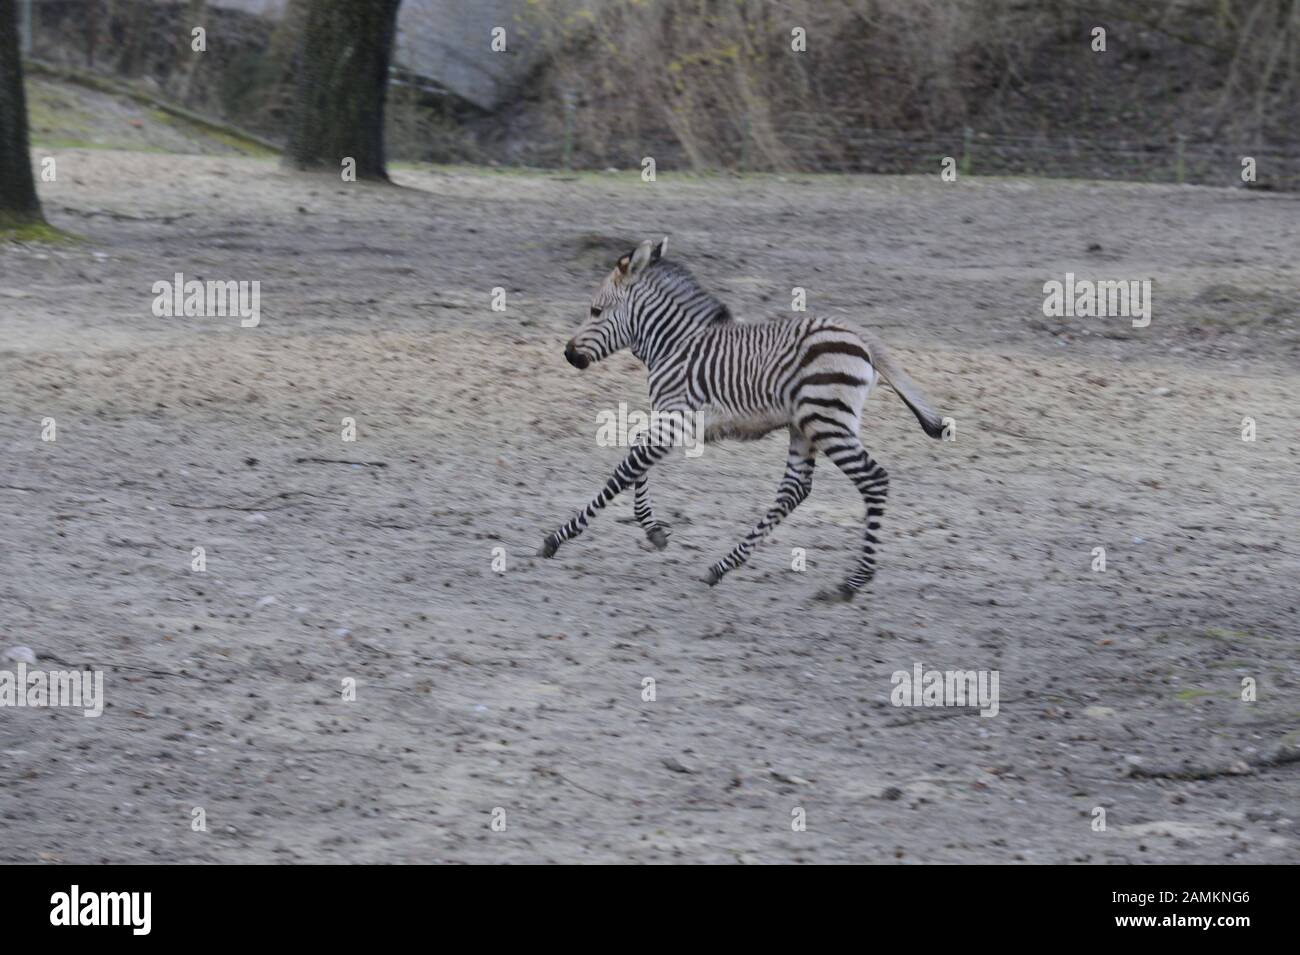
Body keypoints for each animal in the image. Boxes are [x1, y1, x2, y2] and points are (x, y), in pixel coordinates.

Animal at [539, 237, 946, 601]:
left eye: (595, 311)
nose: (568, 355)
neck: (673, 344)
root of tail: (859, 336)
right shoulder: (672, 419)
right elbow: (636, 460)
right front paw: (652, 529)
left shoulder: (676, 416)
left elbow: (625, 469)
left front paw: (558, 537)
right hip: (804, 425)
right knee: (794, 489)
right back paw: (722, 567)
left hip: (826, 420)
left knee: (872, 479)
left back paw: (852, 583)